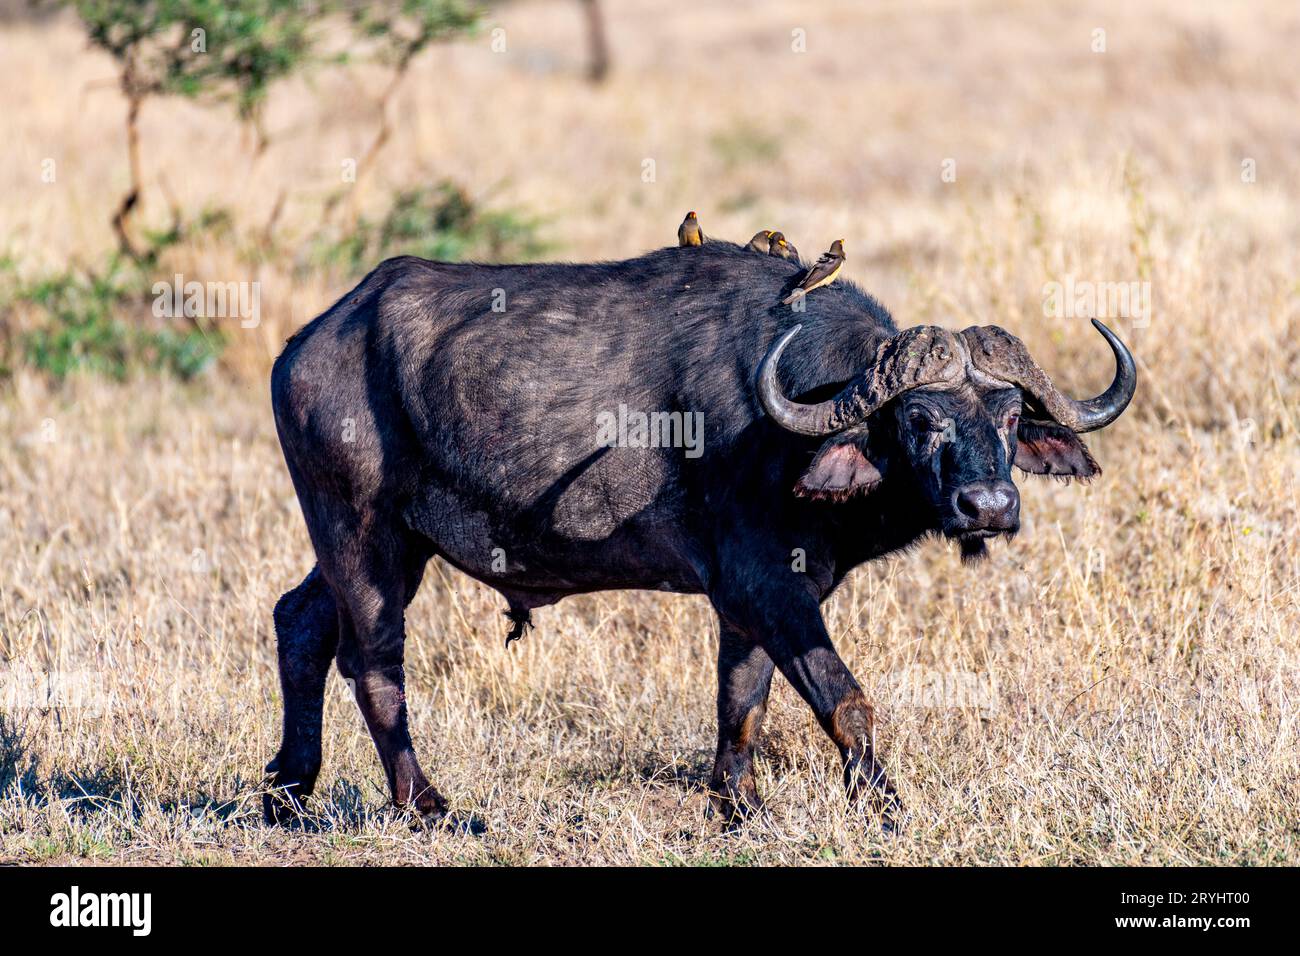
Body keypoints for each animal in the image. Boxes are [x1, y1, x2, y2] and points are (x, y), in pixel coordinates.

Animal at [265, 241, 1135, 824]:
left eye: (1011, 415)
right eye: (919, 418)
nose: (987, 505)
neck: (784, 422)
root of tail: (309, 342)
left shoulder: (750, 599)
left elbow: (741, 701)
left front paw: (738, 806)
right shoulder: (766, 585)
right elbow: (843, 698)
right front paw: (884, 806)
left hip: (387, 545)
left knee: (300, 621)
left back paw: (288, 787)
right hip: (360, 534)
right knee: (375, 665)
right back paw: (428, 804)